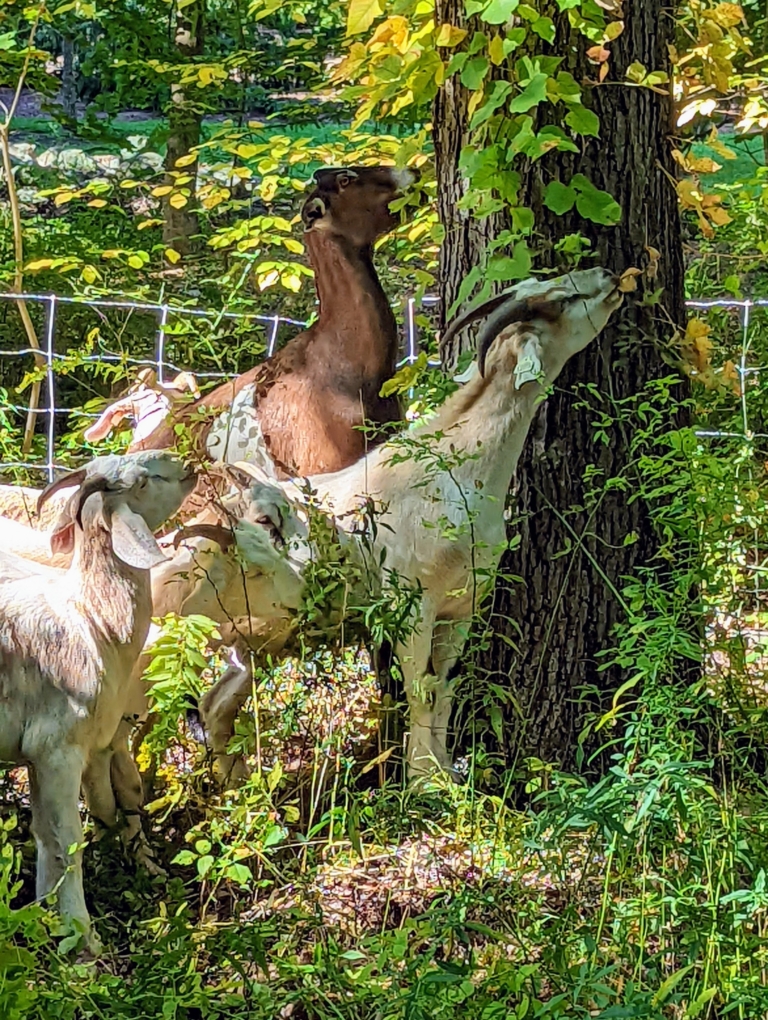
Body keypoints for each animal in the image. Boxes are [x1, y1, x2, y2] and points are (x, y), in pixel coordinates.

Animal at [0, 451, 194, 947]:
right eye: (143, 482)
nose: (187, 465)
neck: (91, 620)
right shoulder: (57, 749)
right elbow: (67, 840)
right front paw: (81, 939)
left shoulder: (62, 751)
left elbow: (52, 836)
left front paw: (47, 919)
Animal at [192, 267, 624, 778]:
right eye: (560, 301)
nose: (610, 276)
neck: (459, 472)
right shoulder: (411, 606)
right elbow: (420, 693)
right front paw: (423, 780)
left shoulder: (461, 608)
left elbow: (444, 690)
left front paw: (447, 769)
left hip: (265, 636)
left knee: (216, 703)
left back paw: (237, 783)